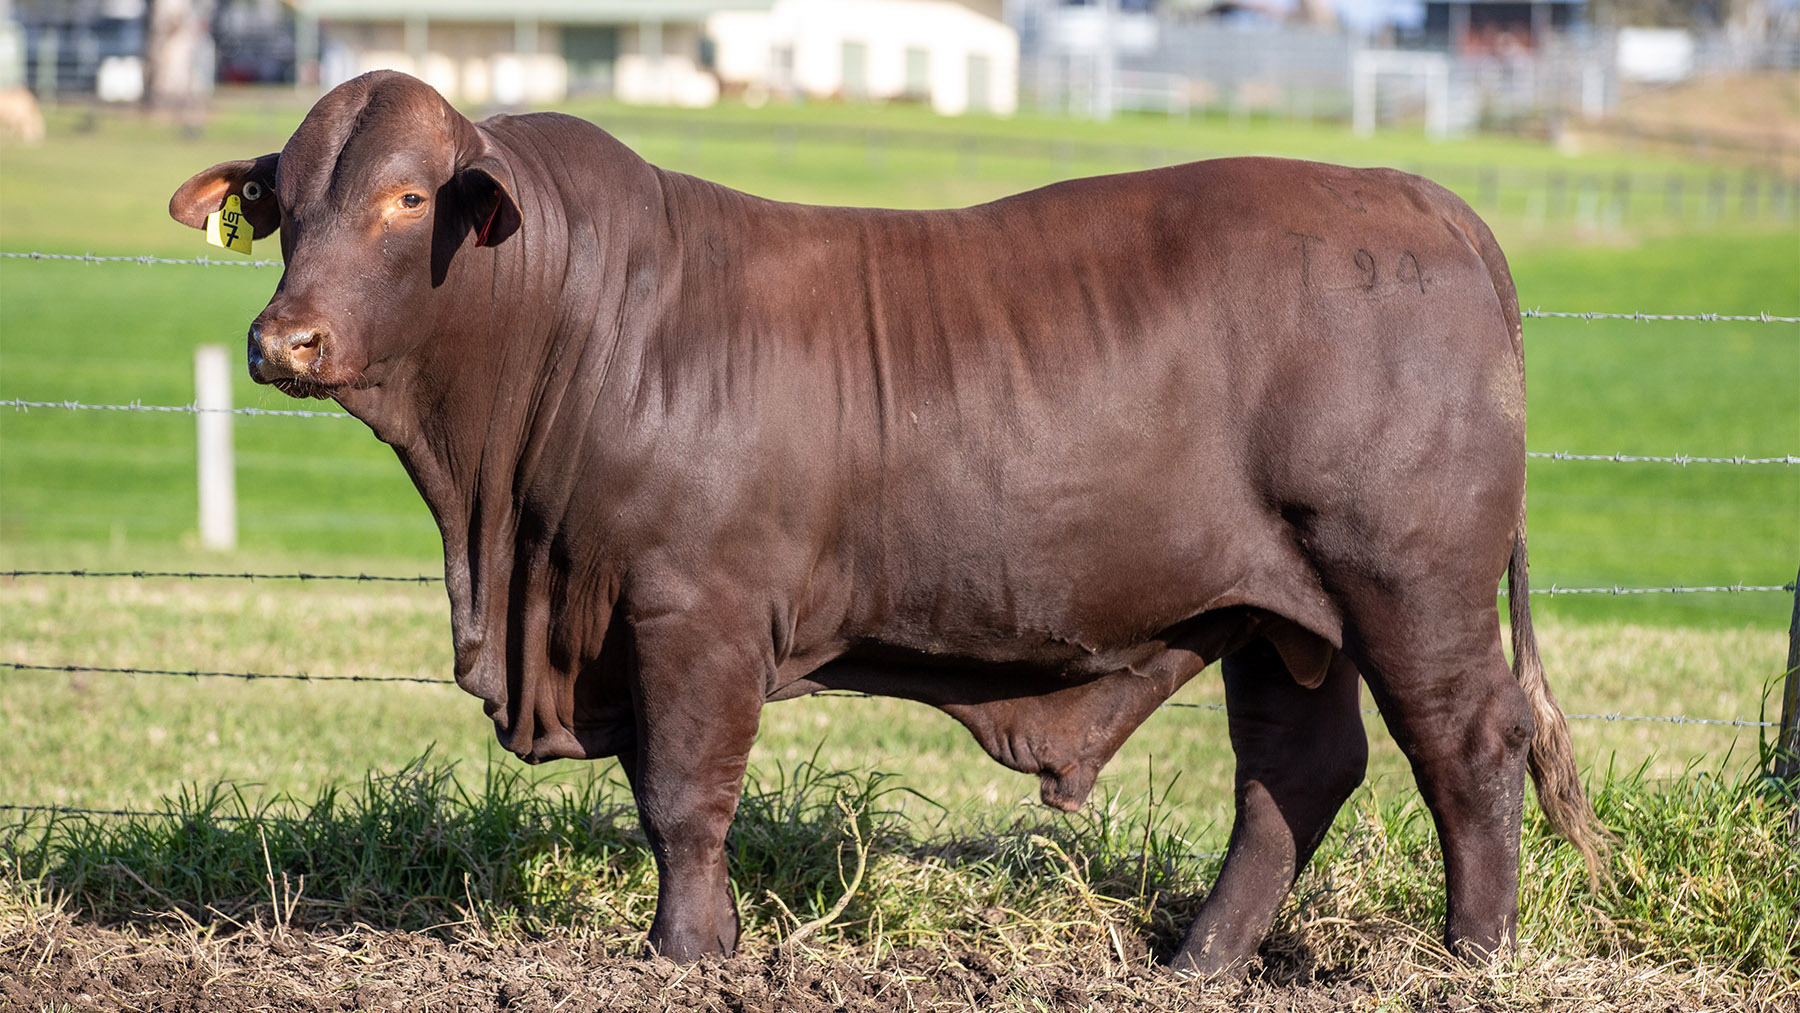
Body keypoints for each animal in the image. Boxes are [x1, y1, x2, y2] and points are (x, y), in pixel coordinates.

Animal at [170, 71, 1601, 974]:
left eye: (408, 200)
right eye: (287, 202)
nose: (284, 339)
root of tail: (1421, 197)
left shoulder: (693, 606)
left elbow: (683, 794)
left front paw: (686, 951)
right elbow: (665, 793)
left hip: (1406, 579)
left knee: (1472, 743)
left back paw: (1474, 956)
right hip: (1275, 612)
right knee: (1296, 770)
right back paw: (1199, 960)